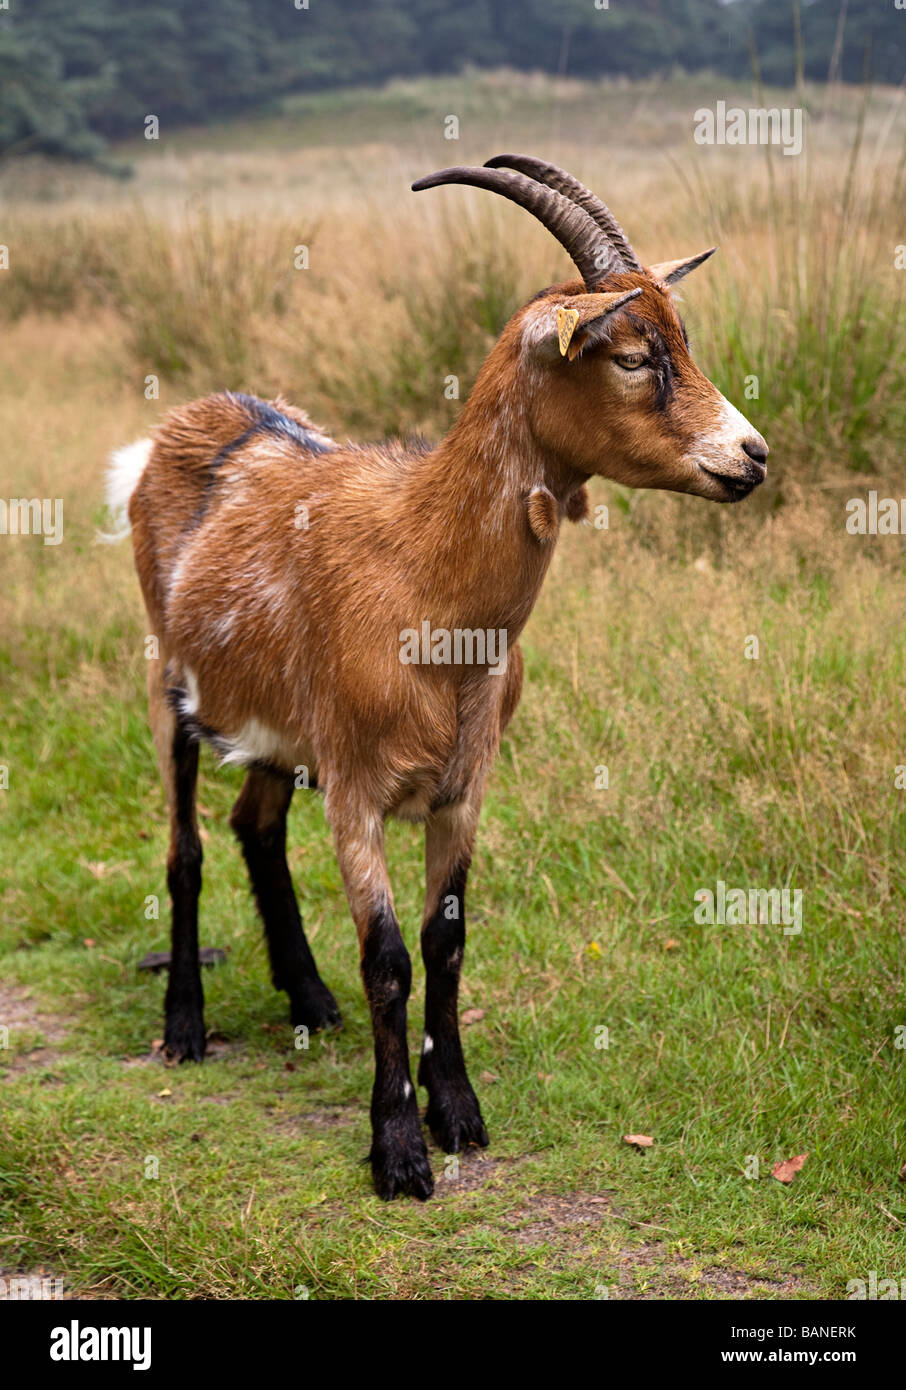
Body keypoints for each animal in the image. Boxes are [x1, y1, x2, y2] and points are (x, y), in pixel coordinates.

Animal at [108, 155, 767, 1200]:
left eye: (683, 341)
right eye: (632, 355)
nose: (752, 456)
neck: (427, 575)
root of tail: (185, 420)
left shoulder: (463, 787)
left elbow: (446, 942)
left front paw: (458, 1111)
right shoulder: (357, 791)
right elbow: (387, 957)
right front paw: (397, 1149)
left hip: (278, 729)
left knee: (255, 825)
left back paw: (307, 996)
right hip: (170, 686)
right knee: (186, 851)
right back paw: (184, 1026)